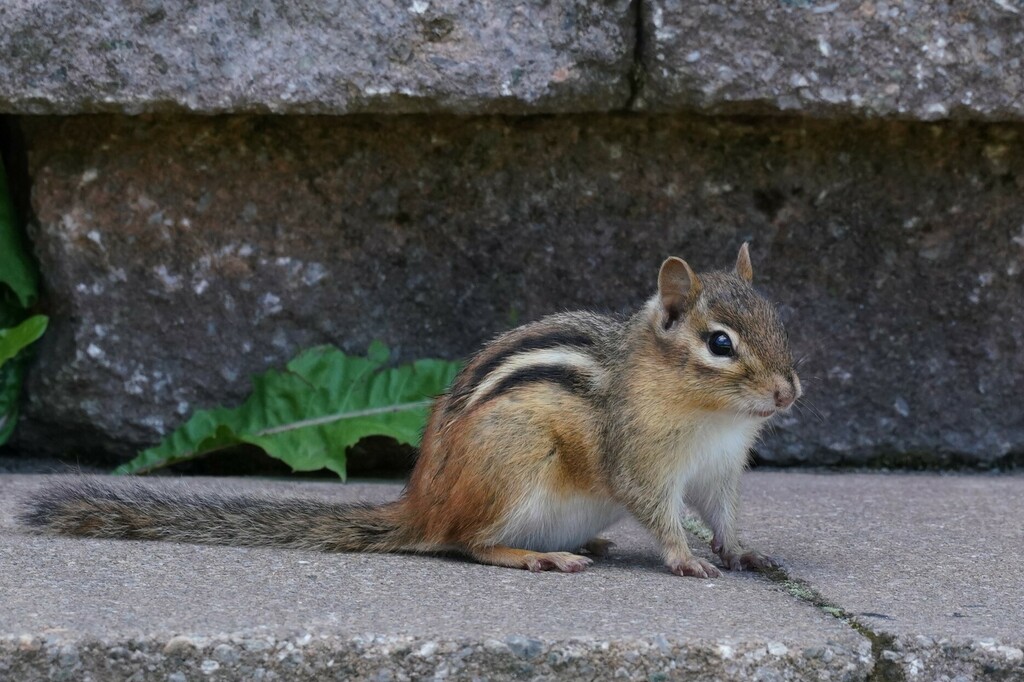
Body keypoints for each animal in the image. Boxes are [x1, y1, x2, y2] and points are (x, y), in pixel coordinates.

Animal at [21, 244, 801, 578]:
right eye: (721, 343)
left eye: (777, 319)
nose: (789, 393)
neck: (710, 415)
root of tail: (421, 502)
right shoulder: (640, 460)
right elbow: (659, 513)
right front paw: (685, 558)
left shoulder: (717, 471)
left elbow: (723, 515)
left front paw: (743, 552)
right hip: (514, 462)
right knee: (464, 541)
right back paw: (537, 553)